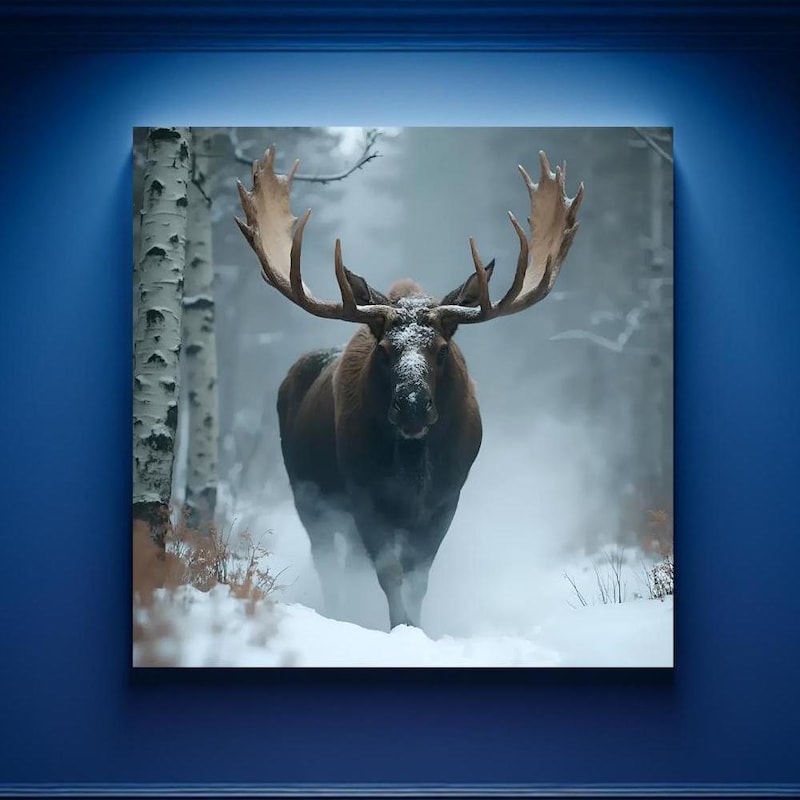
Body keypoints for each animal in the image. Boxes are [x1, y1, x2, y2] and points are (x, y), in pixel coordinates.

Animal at [235, 146, 584, 630]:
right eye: (384, 349)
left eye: (441, 348)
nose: (413, 406)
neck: (414, 467)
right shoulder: (363, 496)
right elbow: (389, 571)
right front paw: (399, 627)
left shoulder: (445, 500)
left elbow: (418, 576)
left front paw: (415, 626)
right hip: (308, 494)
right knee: (329, 562)